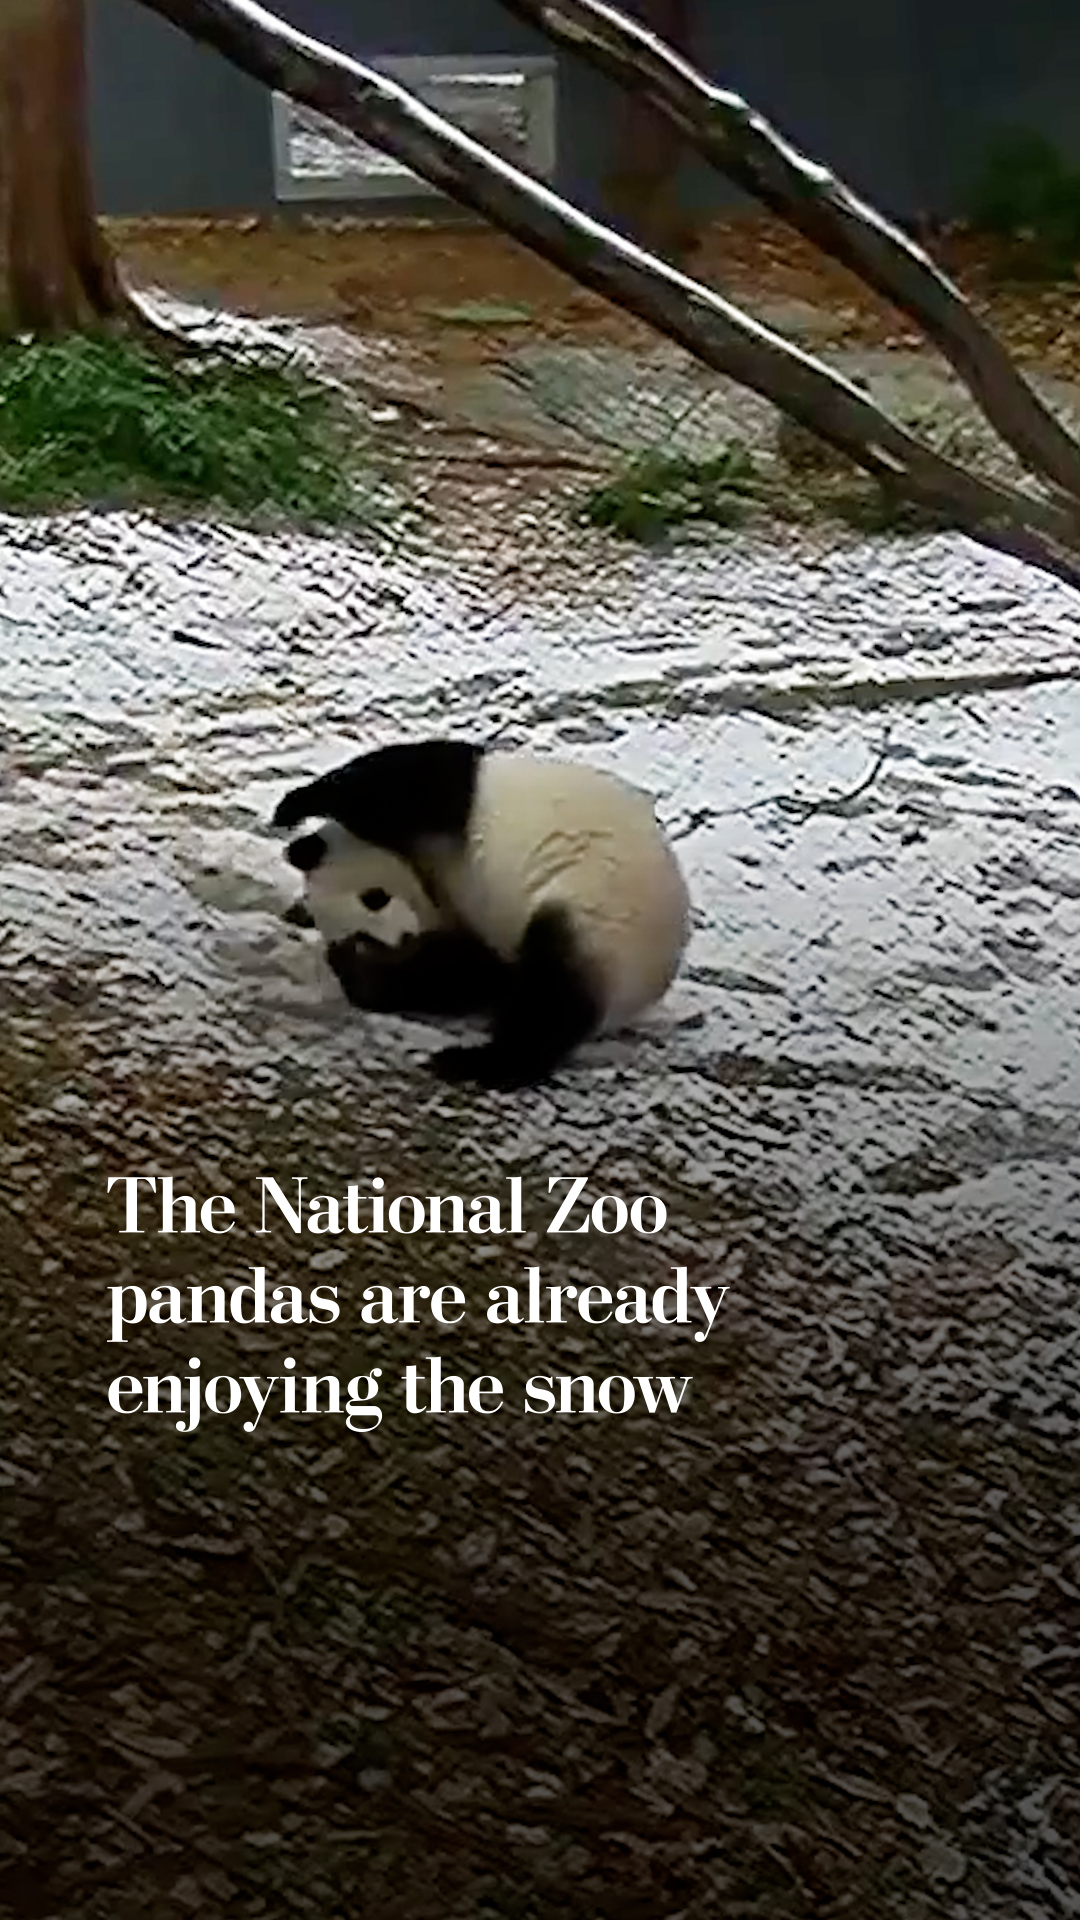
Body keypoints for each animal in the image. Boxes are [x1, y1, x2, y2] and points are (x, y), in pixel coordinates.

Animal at [273, 738, 690, 1091]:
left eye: (375, 898)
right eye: (362, 935)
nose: (401, 941)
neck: (431, 879)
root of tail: (650, 988)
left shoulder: (446, 812)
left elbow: (395, 784)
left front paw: (291, 807)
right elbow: (453, 975)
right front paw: (357, 968)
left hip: (601, 914)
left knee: (551, 997)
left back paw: (475, 1063)